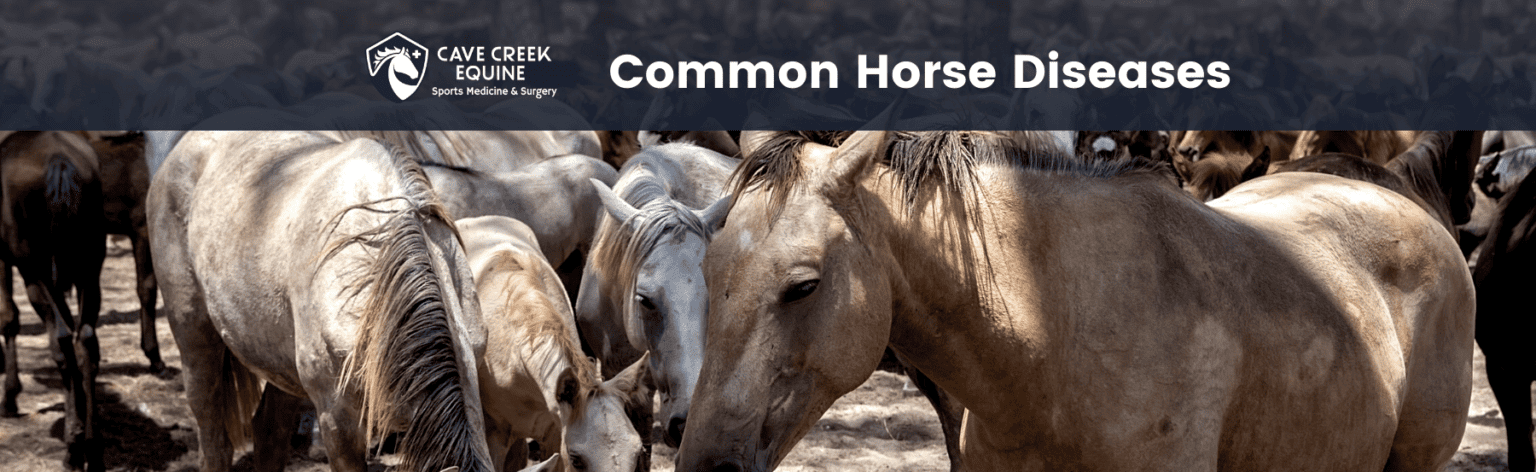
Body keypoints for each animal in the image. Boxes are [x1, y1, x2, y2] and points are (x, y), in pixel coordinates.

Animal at [0, 131, 107, 472]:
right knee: (85, 340)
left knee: (60, 338)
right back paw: (92, 449)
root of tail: (60, 161)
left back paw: (73, 449)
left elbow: (8, 317)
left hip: (35, 270)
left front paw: (10, 396)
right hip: (90, 268)